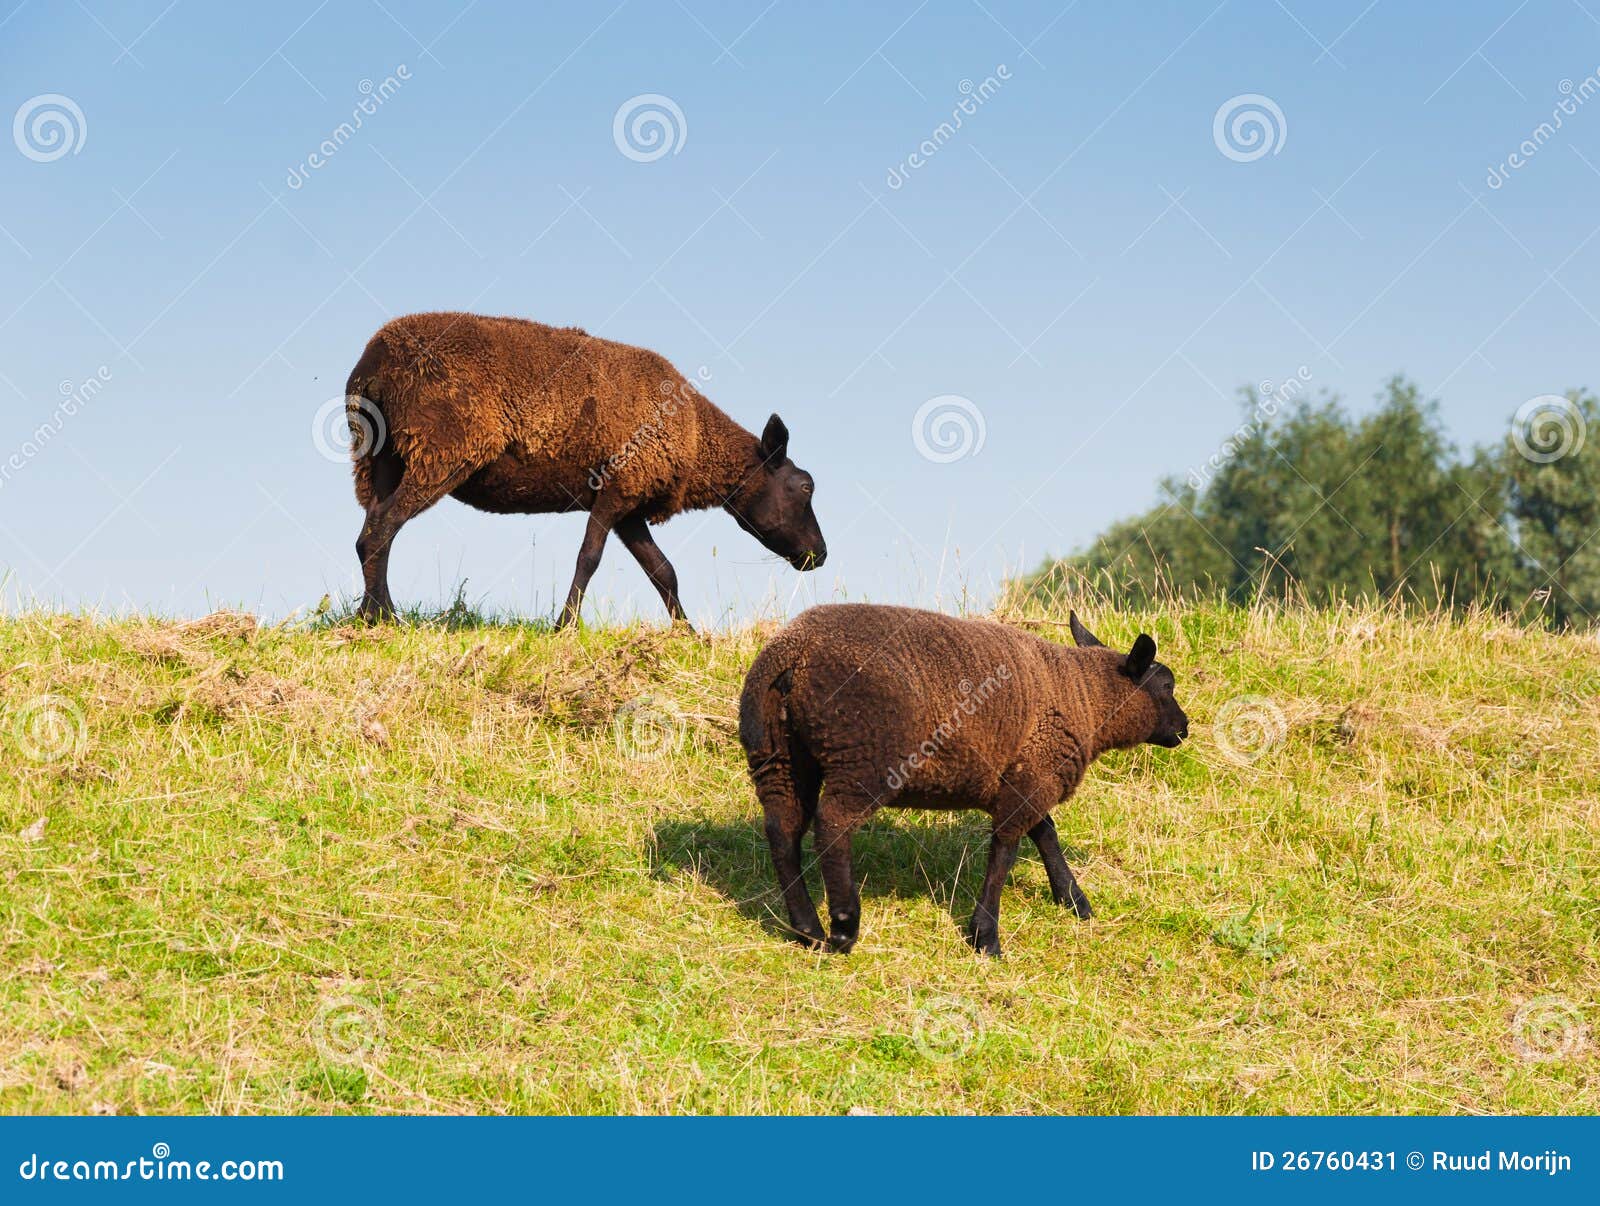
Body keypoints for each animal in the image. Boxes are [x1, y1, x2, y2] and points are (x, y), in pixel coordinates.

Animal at [343, 312, 827, 627]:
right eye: (804, 487)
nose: (820, 555)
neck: (693, 436)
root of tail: (373, 366)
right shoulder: (617, 487)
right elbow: (588, 558)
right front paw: (565, 627)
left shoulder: (632, 503)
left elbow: (663, 571)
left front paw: (688, 633)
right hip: (441, 451)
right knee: (382, 527)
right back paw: (384, 619)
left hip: (383, 458)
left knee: (369, 531)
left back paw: (372, 615)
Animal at [738, 605, 1188, 956]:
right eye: (1166, 685)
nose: (1185, 727)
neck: (1085, 696)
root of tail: (792, 651)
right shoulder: (1032, 778)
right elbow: (1005, 852)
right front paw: (986, 936)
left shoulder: (1026, 775)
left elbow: (1045, 833)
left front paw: (1074, 901)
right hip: (861, 754)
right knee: (832, 825)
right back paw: (844, 925)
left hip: (777, 755)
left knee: (782, 830)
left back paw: (806, 930)